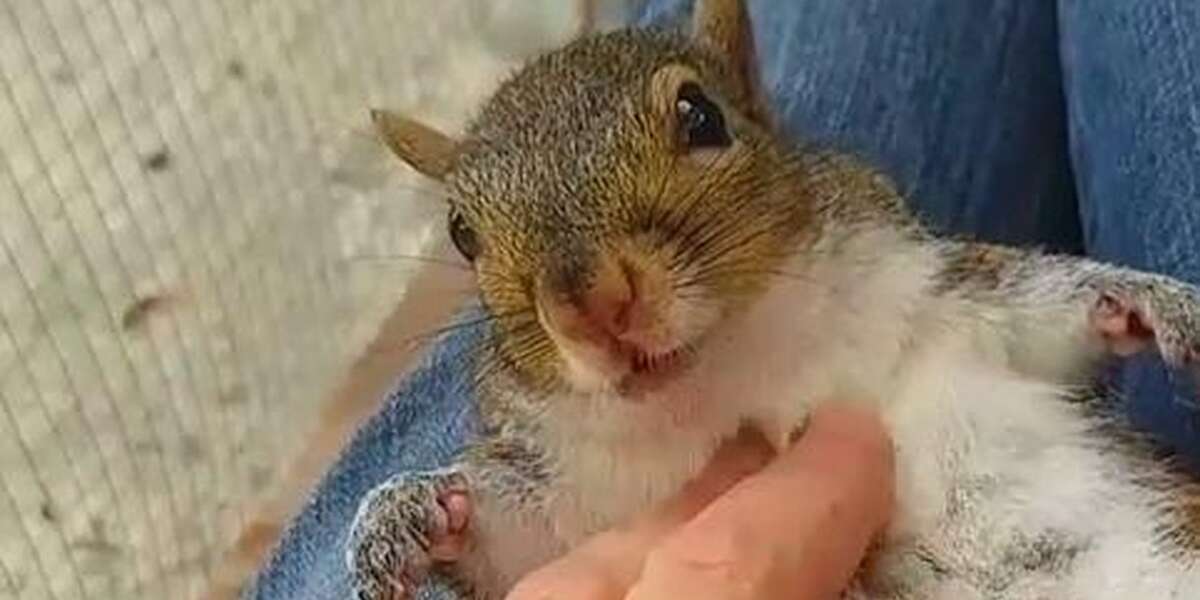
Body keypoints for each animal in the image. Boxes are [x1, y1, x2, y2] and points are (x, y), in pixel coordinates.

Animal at [346, 1, 1200, 598]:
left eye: (701, 115)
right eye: (461, 233)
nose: (589, 308)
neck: (742, 364)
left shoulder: (940, 299)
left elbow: (1042, 304)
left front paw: (1160, 304)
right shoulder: (581, 497)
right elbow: (509, 539)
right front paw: (400, 515)